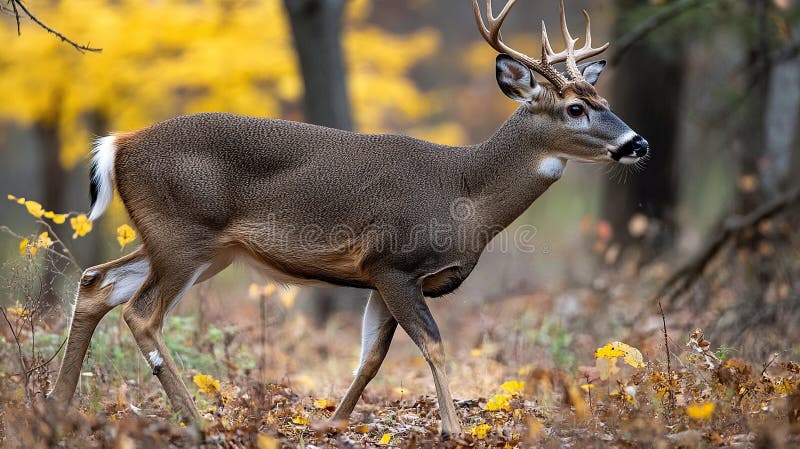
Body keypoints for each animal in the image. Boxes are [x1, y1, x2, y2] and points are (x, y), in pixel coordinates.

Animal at [49, 0, 649, 438]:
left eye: (603, 98)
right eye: (575, 108)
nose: (637, 143)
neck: (466, 194)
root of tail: (119, 144)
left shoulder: (378, 278)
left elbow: (371, 356)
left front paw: (332, 422)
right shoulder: (394, 262)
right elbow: (432, 345)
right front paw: (454, 429)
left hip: (196, 247)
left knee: (97, 281)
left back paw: (59, 404)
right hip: (183, 235)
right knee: (141, 312)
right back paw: (196, 420)